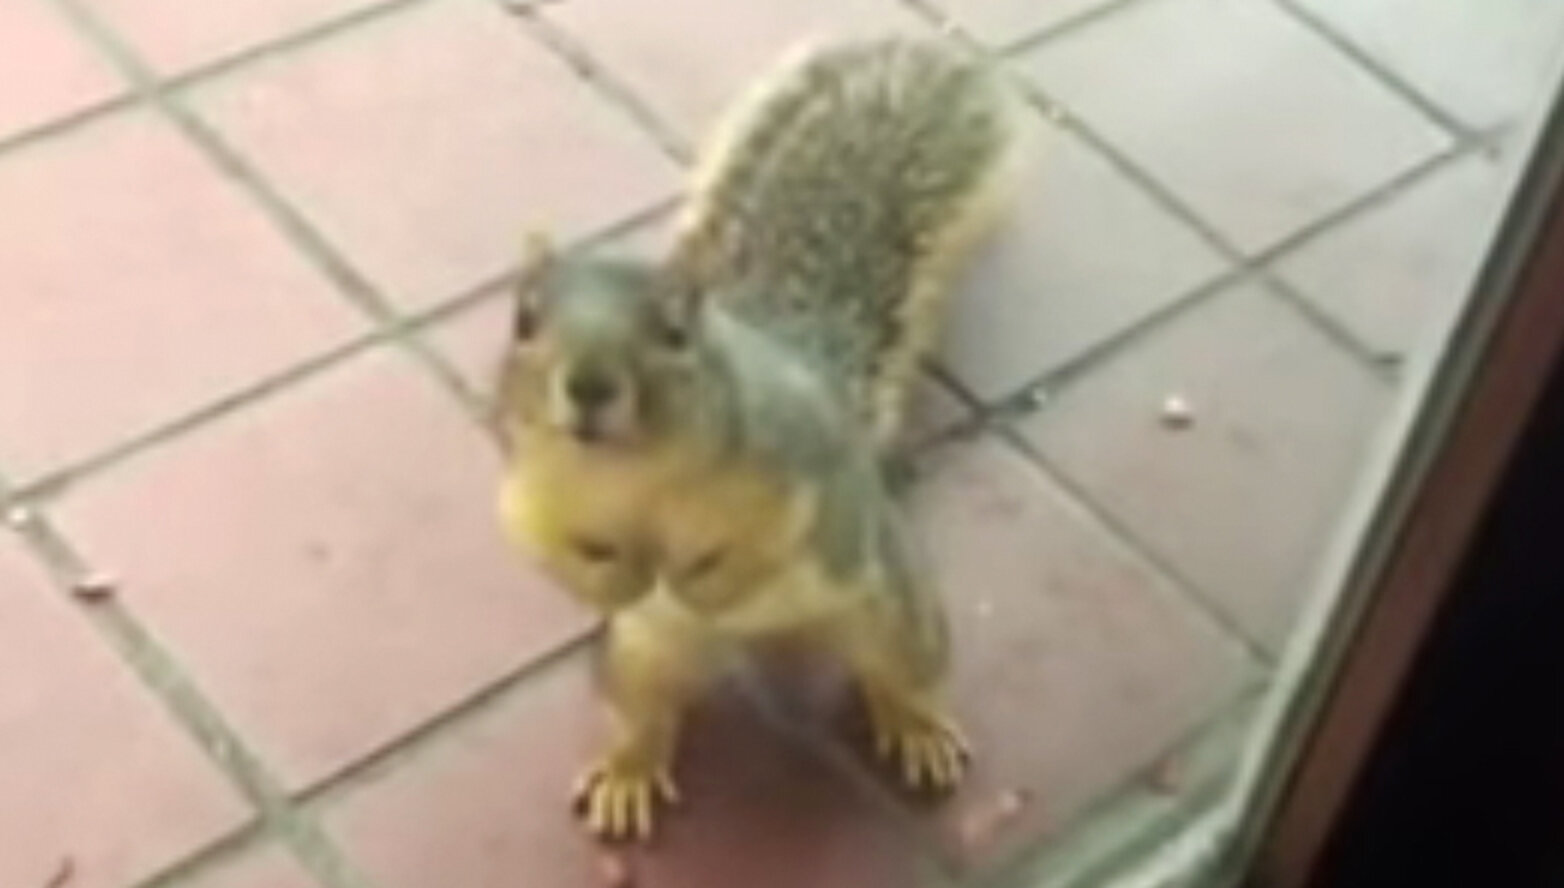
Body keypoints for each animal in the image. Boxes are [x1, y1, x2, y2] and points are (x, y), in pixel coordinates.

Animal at [492, 36, 1027, 841]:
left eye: (674, 331)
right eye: (522, 321)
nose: (587, 386)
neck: (635, 471)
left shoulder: (792, 459)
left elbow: (767, 534)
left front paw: (708, 580)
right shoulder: (534, 486)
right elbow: (540, 539)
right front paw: (607, 582)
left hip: (894, 612)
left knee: (895, 672)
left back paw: (917, 724)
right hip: (641, 655)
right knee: (646, 714)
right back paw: (627, 769)